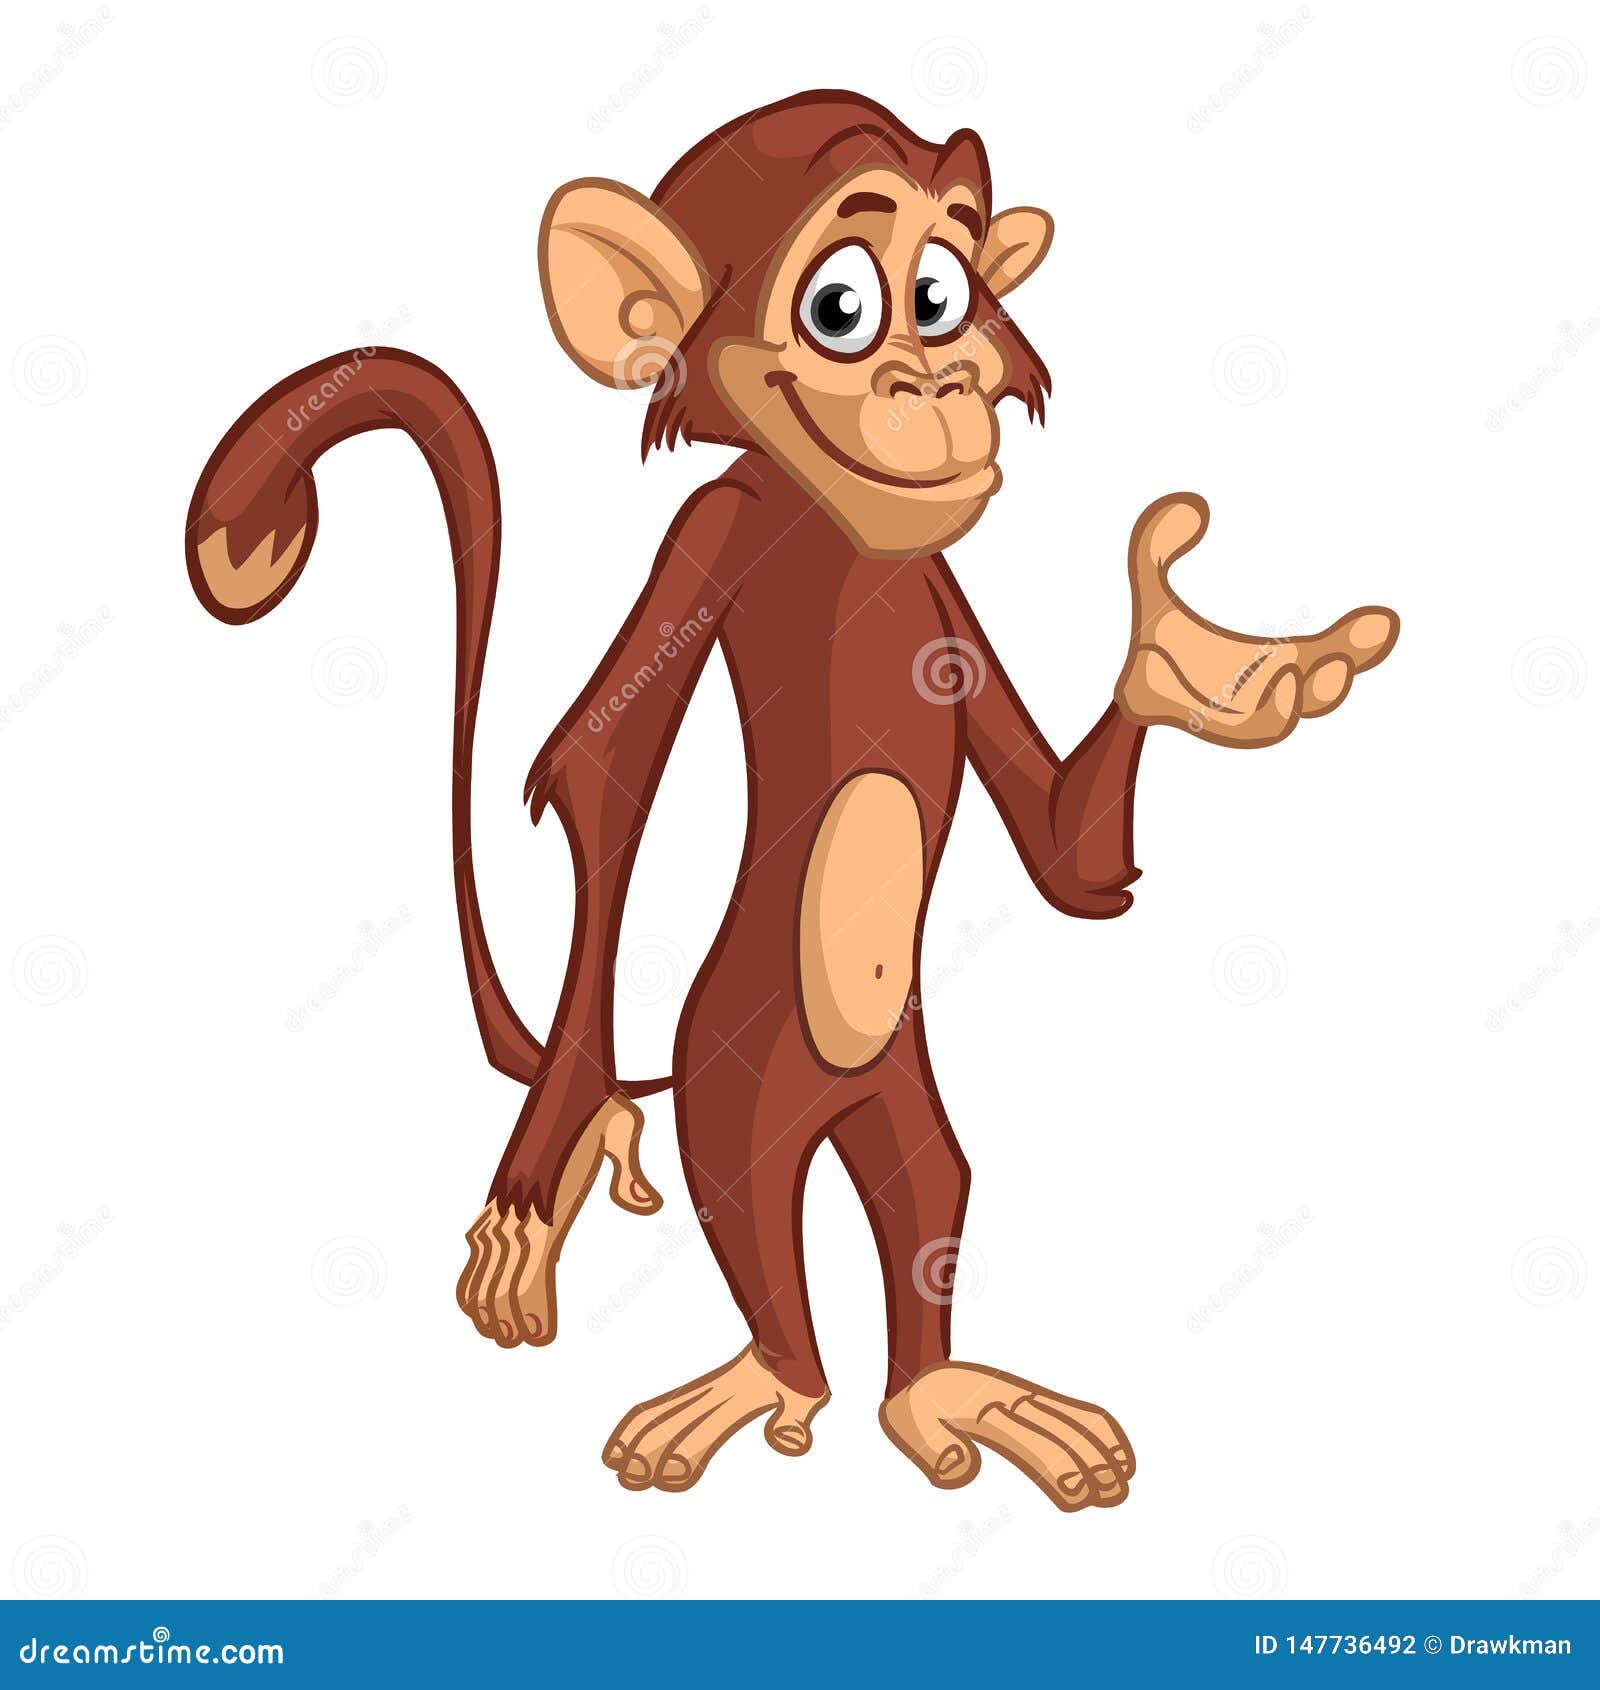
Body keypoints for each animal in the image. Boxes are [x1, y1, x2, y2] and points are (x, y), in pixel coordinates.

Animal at [187, 91, 1397, 1509]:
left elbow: (1060, 857)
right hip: (738, 1077)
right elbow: (604, 768)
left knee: (932, 1190)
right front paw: (543, 1173)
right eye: (844, 306)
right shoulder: (708, 535)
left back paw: (941, 1390)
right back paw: (768, 1371)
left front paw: (1192, 663)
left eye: (944, 293)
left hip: (899, 1095)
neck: (839, 537)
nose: (938, 381)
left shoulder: (943, 595)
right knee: (752, 1210)